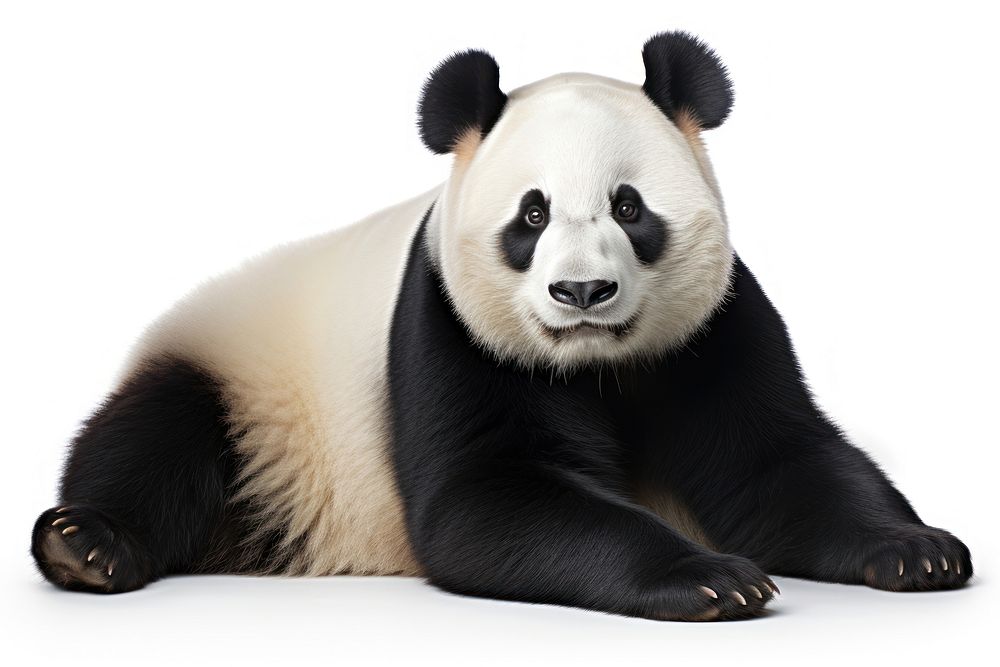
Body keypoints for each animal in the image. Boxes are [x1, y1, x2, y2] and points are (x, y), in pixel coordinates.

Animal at [31, 31, 972, 621]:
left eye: (629, 207)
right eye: (532, 214)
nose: (583, 291)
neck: (599, 363)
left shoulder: (714, 331)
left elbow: (774, 461)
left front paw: (917, 550)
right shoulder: (448, 327)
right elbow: (483, 496)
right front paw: (707, 577)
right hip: (240, 379)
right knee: (154, 439)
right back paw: (86, 544)